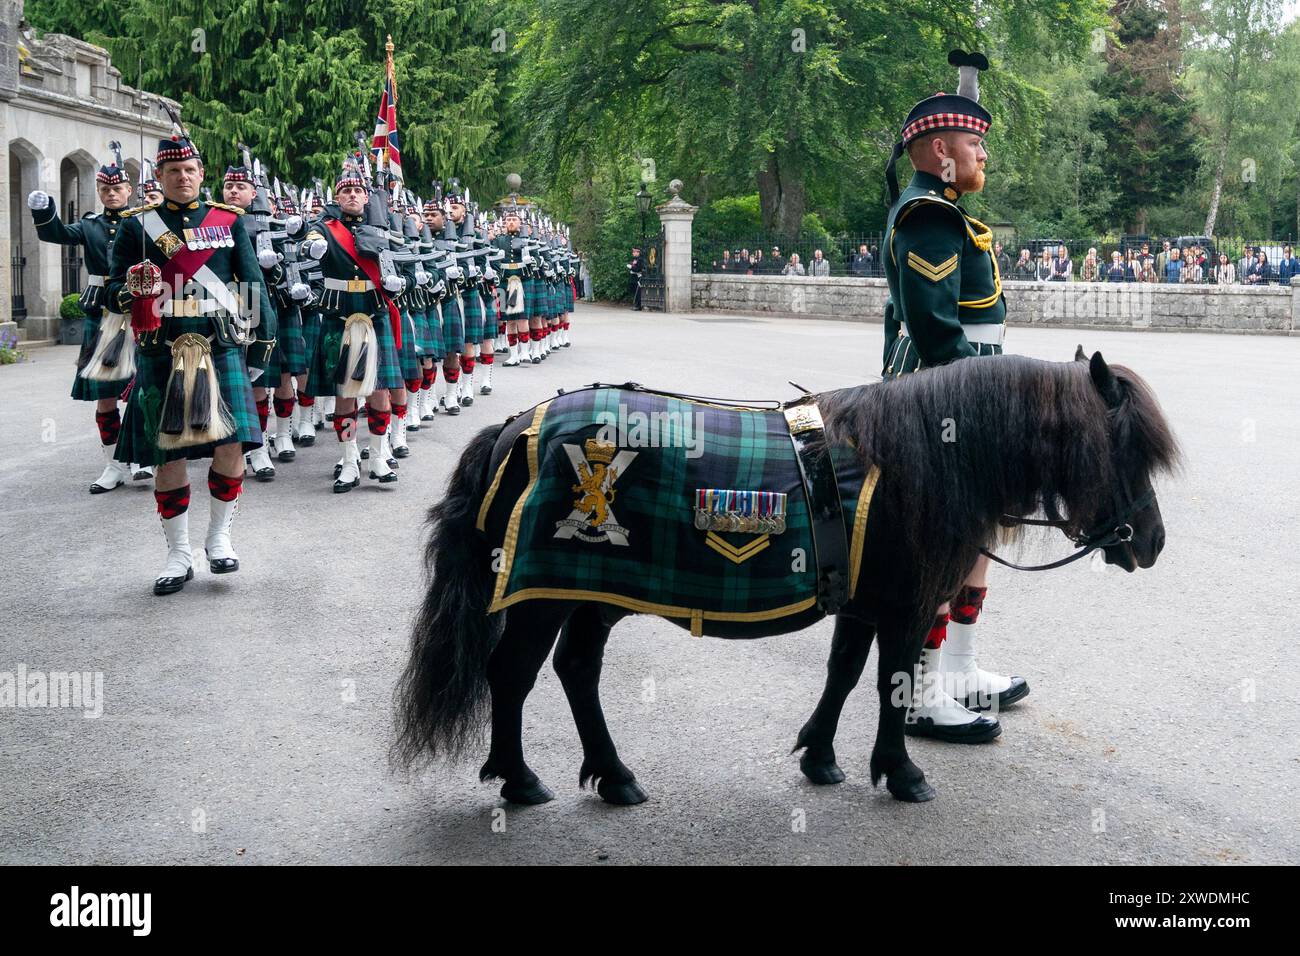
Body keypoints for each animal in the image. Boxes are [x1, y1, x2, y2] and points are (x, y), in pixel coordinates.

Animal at [392, 348, 1179, 805]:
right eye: (1129, 447)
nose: (1151, 542)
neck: (925, 454)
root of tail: (517, 425)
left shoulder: (862, 598)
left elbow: (843, 674)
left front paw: (821, 756)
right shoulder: (903, 603)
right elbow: (892, 683)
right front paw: (901, 771)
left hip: (596, 592)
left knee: (576, 669)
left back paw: (612, 776)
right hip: (545, 594)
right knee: (513, 675)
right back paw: (519, 777)